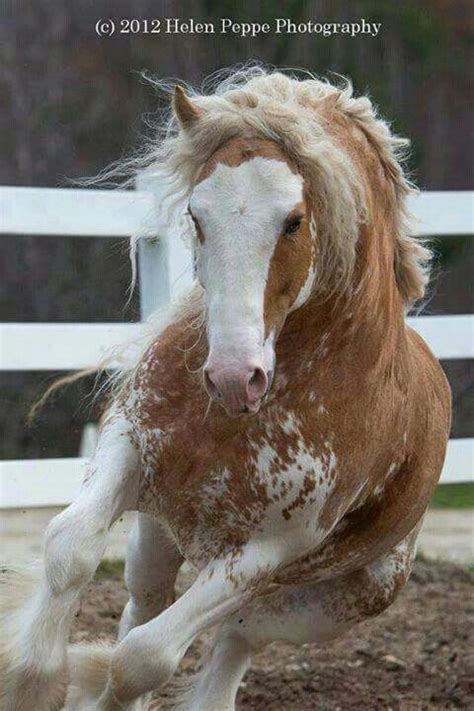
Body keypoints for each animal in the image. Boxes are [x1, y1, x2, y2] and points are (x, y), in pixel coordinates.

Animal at [0, 67, 451, 711]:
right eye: (196, 216)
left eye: (294, 220)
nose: (235, 377)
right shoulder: (127, 446)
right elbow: (71, 549)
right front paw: (34, 682)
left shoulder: (267, 552)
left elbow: (144, 659)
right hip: (157, 537)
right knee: (143, 606)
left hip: (326, 602)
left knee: (231, 640)